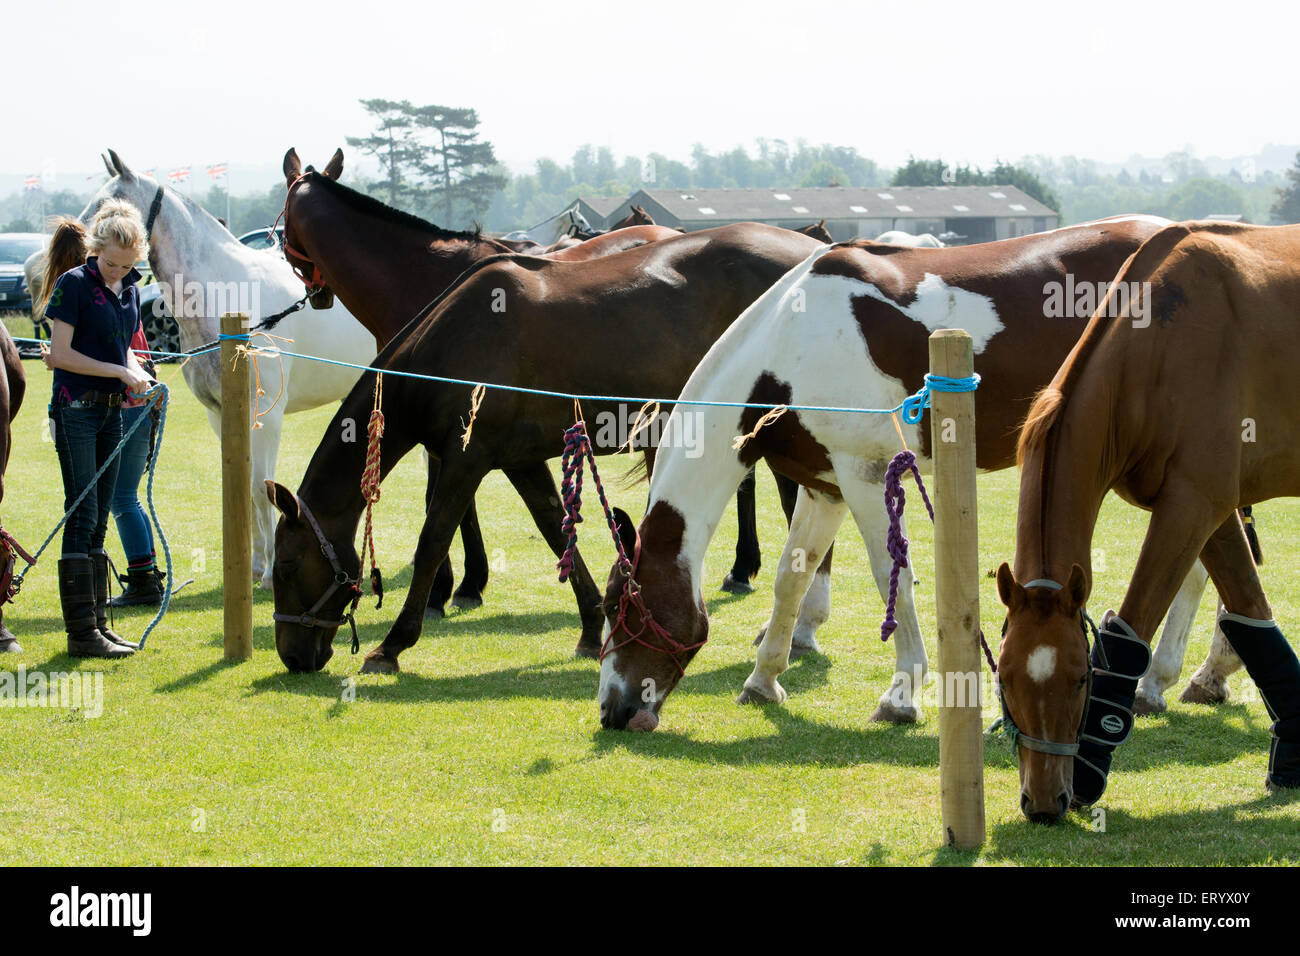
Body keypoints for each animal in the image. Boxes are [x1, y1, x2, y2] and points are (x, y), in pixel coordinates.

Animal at [89, 150, 376, 587]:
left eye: (110, 205)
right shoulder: (219, 414)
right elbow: (240, 487)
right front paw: (254, 566)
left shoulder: (267, 418)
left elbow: (261, 489)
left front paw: (269, 572)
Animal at [263, 222, 824, 673]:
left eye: (286, 566)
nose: (293, 657)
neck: (452, 342)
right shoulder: (521, 461)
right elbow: (557, 532)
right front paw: (592, 626)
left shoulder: (466, 460)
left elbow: (432, 542)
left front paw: (393, 645)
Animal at [278, 148, 761, 618]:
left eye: (282, 230)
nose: (317, 298)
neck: (419, 276)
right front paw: (463, 582)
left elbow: (445, 502)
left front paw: (453, 586)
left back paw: (739, 568)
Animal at [592, 216, 1242, 731]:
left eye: (620, 606)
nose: (612, 708)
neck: (790, 344)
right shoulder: (825, 485)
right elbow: (791, 577)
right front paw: (764, 677)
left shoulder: (865, 477)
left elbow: (892, 578)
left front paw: (902, 694)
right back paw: (1184, 678)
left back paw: (1170, 677)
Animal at [998, 220, 1300, 821]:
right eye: (1003, 676)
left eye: (1082, 679)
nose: (1043, 801)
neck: (1160, 345)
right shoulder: (1210, 511)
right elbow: (1252, 615)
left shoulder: (1193, 506)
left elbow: (1135, 626)